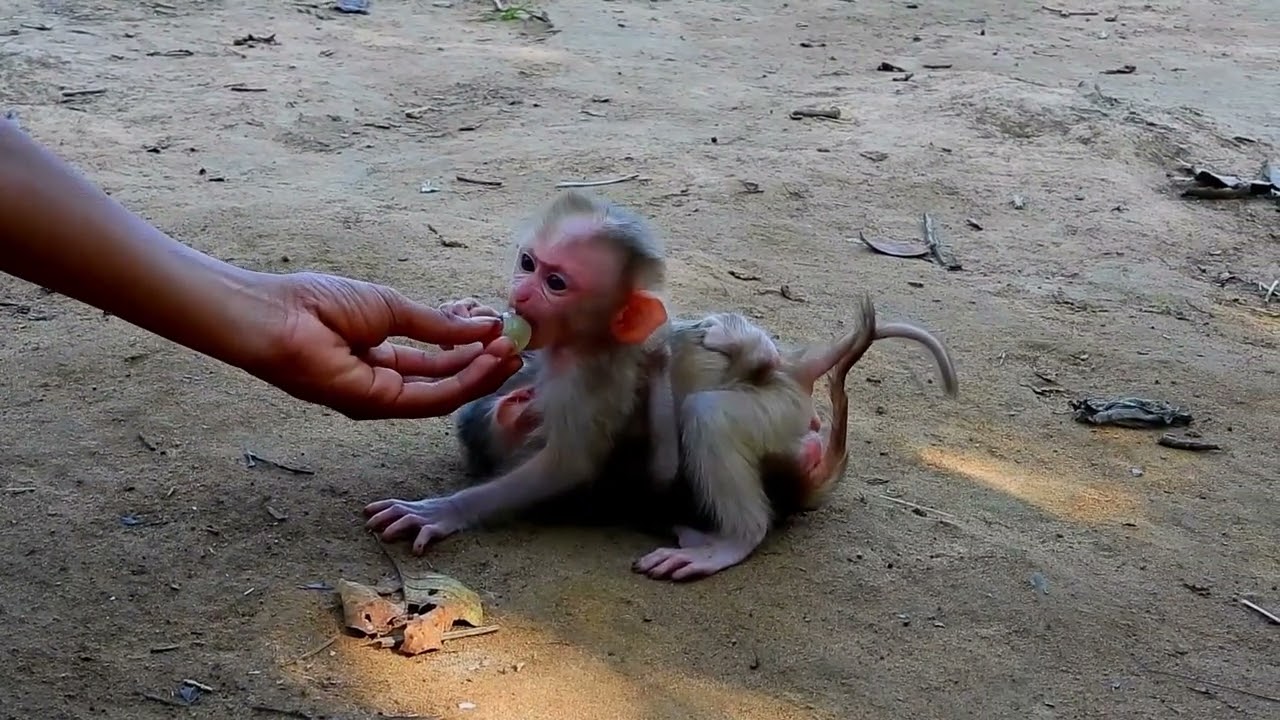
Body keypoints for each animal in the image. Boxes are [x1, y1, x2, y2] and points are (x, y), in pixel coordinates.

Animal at [362, 189, 674, 554]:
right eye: (528, 263)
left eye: (555, 283)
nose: (521, 294)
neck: (583, 342)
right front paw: (469, 312)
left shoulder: (584, 380)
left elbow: (566, 464)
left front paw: (446, 510)